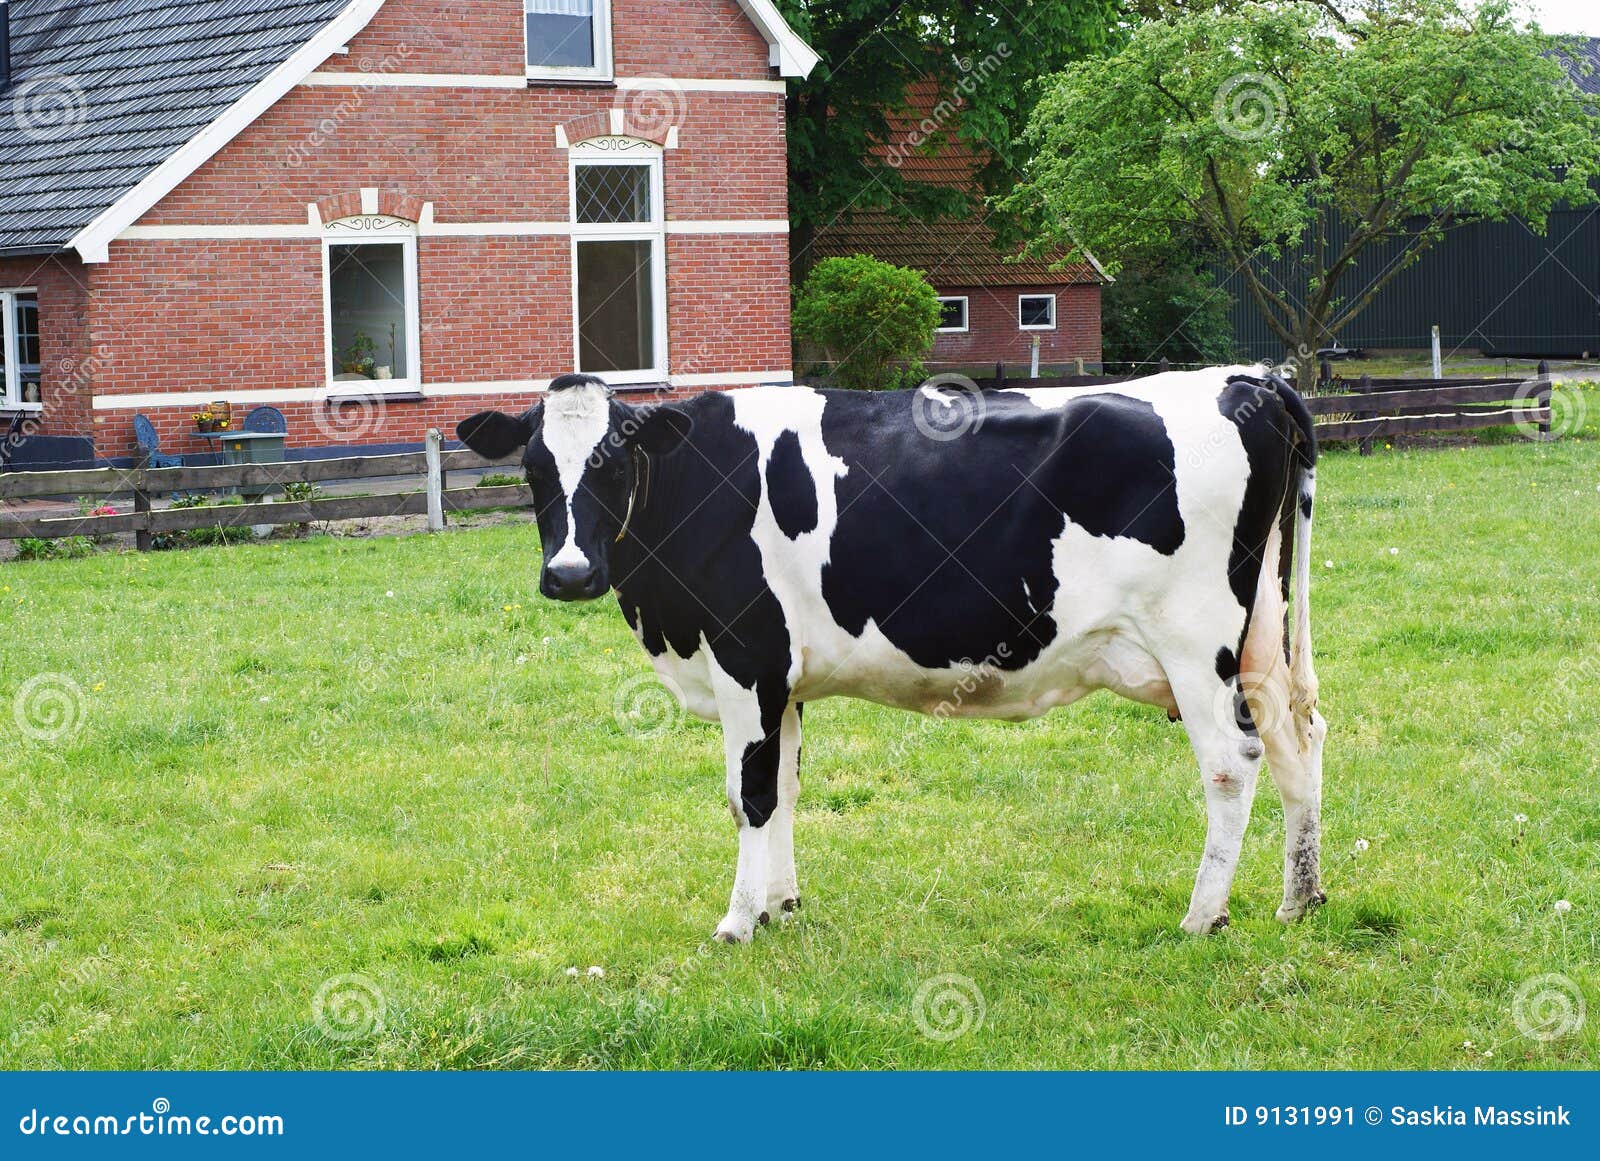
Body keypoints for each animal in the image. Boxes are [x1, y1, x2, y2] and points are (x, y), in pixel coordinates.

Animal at [457, 368, 1328, 943]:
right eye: (533, 467)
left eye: (611, 462)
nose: (571, 573)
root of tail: (1248, 379)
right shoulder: (784, 679)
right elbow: (787, 787)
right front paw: (782, 906)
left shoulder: (744, 658)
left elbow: (750, 796)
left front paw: (737, 921)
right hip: (1261, 633)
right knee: (1297, 741)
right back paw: (1299, 898)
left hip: (1195, 640)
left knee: (1232, 763)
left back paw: (1203, 915)